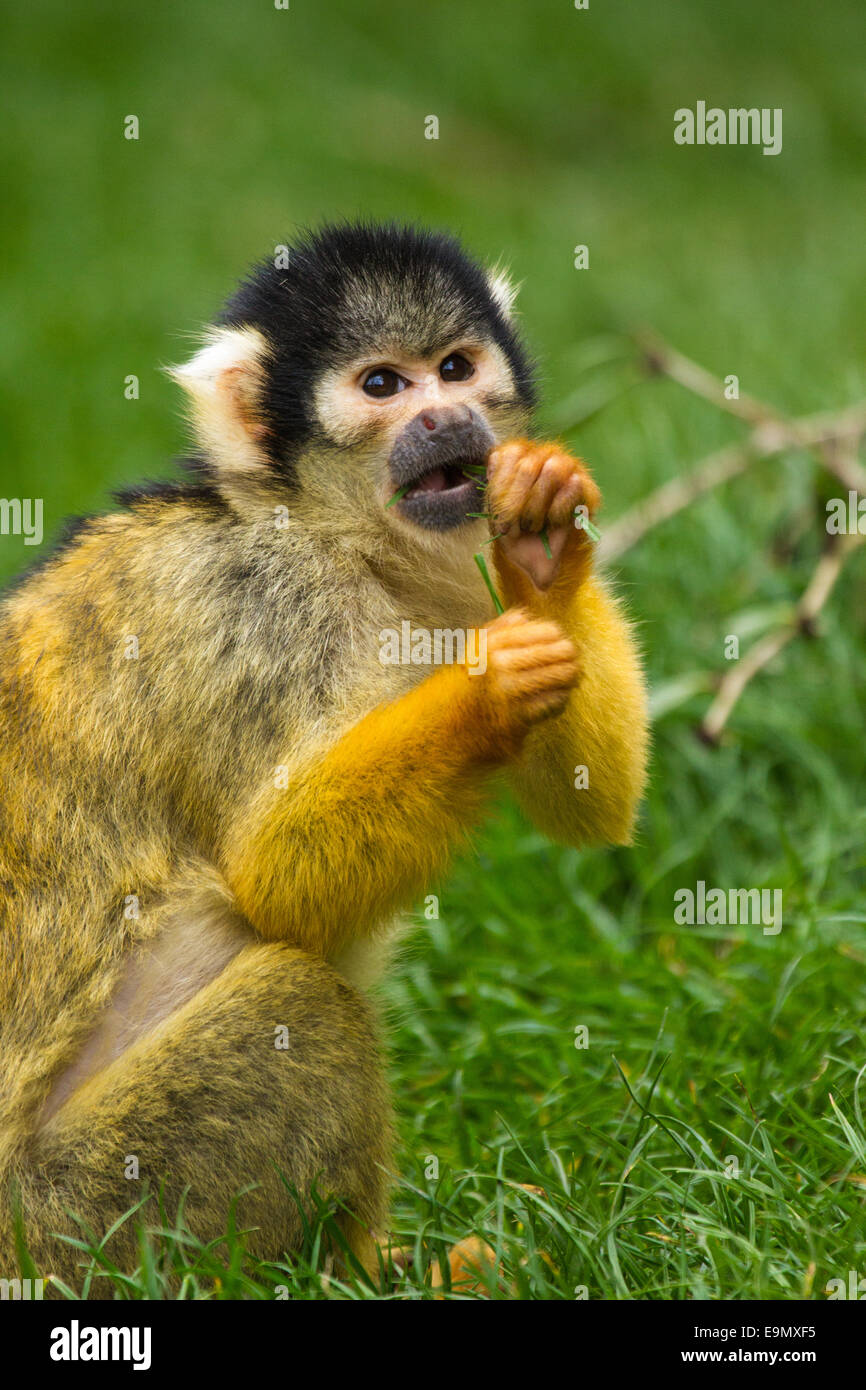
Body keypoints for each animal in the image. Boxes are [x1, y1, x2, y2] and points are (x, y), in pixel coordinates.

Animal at [0, 222, 648, 1292]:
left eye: (456, 368)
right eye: (383, 385)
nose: (445, 416)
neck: (334, 538)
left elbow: (589, 807)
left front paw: (546, 553)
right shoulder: (255, 611)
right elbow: (278, 878)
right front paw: (487, 689)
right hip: (76, 1221)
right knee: (293, 993)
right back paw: (357, 1269)